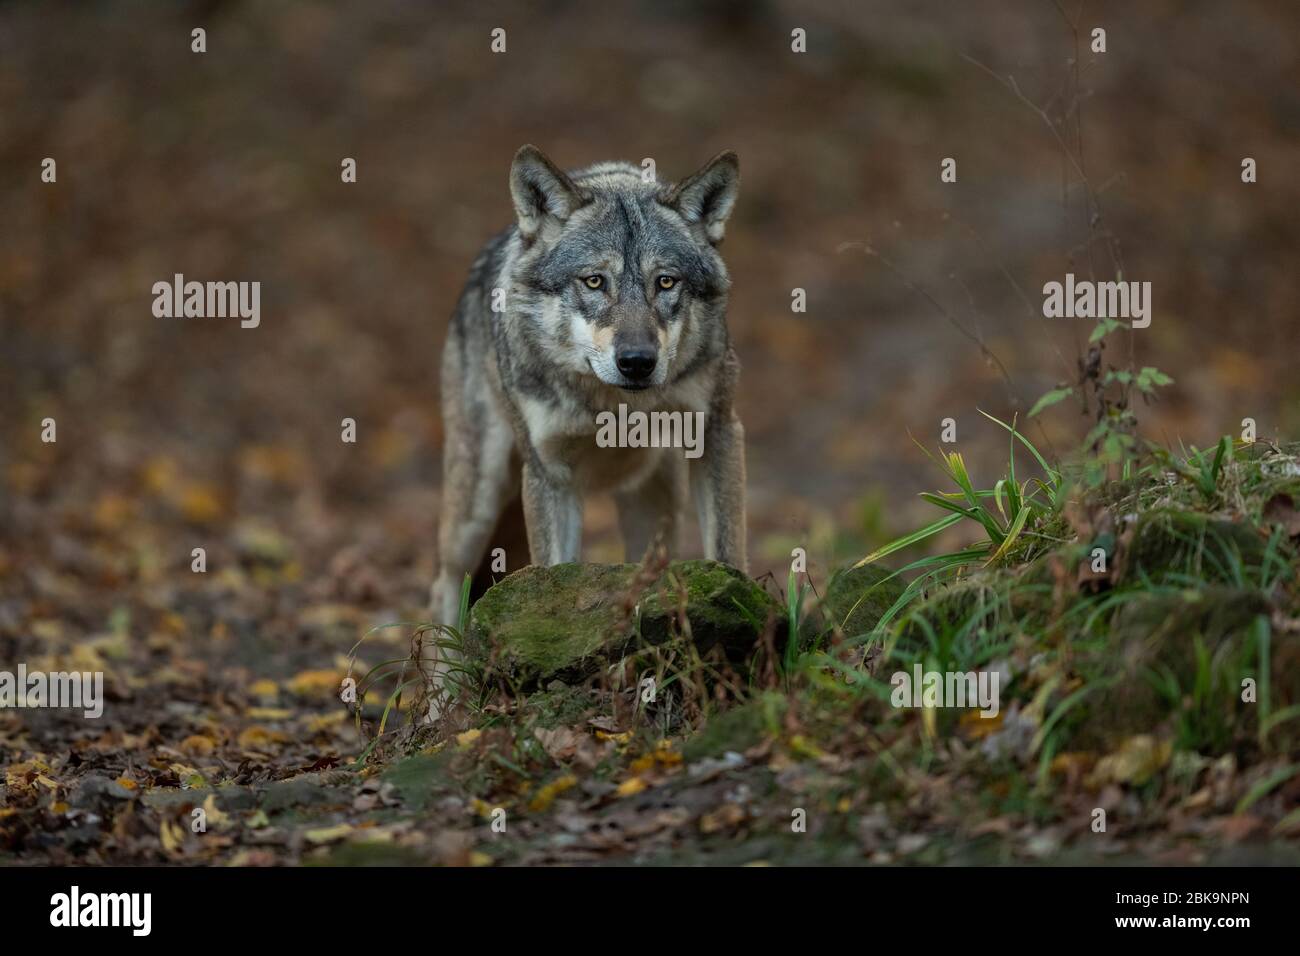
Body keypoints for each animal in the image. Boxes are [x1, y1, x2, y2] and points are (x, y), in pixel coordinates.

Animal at [429, 146, 747, 692]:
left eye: (665, 282)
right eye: (595, 282)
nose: (637, 361)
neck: (614, 407)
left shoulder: (718, 433)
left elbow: (726, 552)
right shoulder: (549, 475)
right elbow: (550, 577)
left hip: (655, 507)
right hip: (476, 507)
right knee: (444, 587)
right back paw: (439, 699)